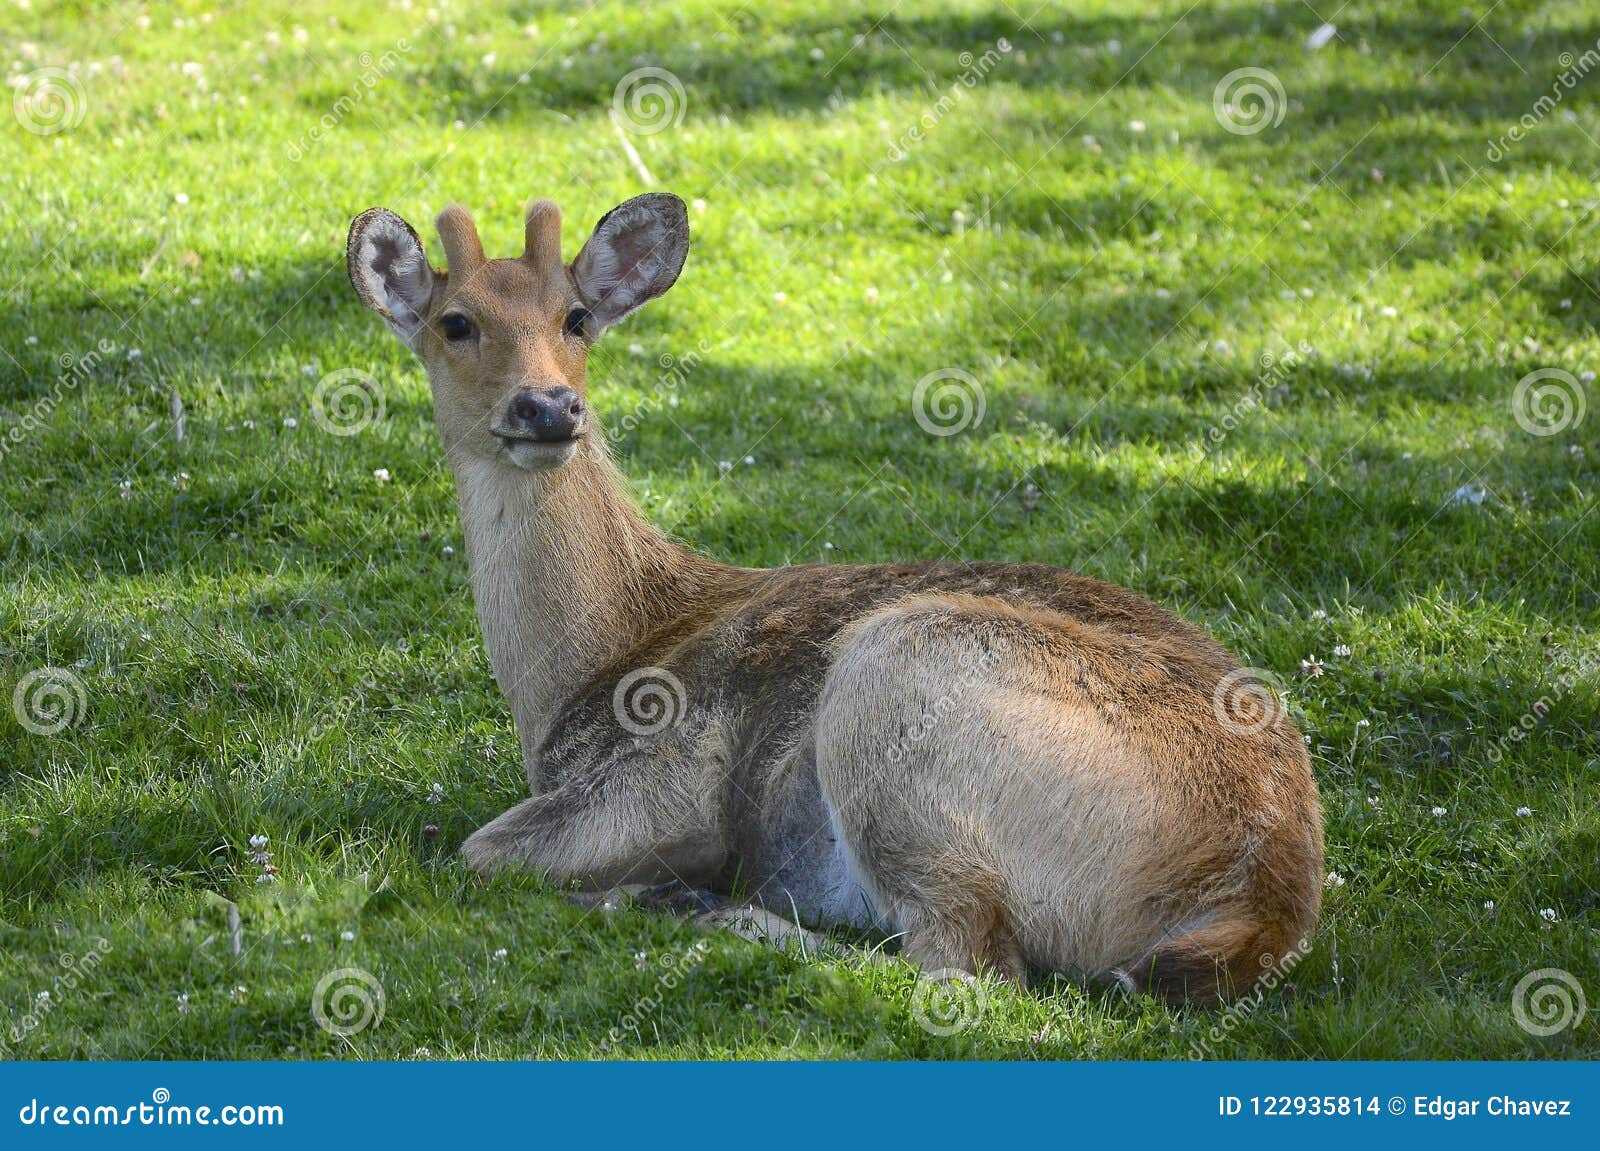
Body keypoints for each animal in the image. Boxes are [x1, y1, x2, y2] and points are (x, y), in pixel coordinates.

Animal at [345, 192, 1324, 1001]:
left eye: (576, 316)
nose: (547, 407)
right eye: (457, 322)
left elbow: (479, 850)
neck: (589, 663)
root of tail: (1264, 900)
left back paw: (684, 905)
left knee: (969, 967)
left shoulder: (665, 775)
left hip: (897, 685)